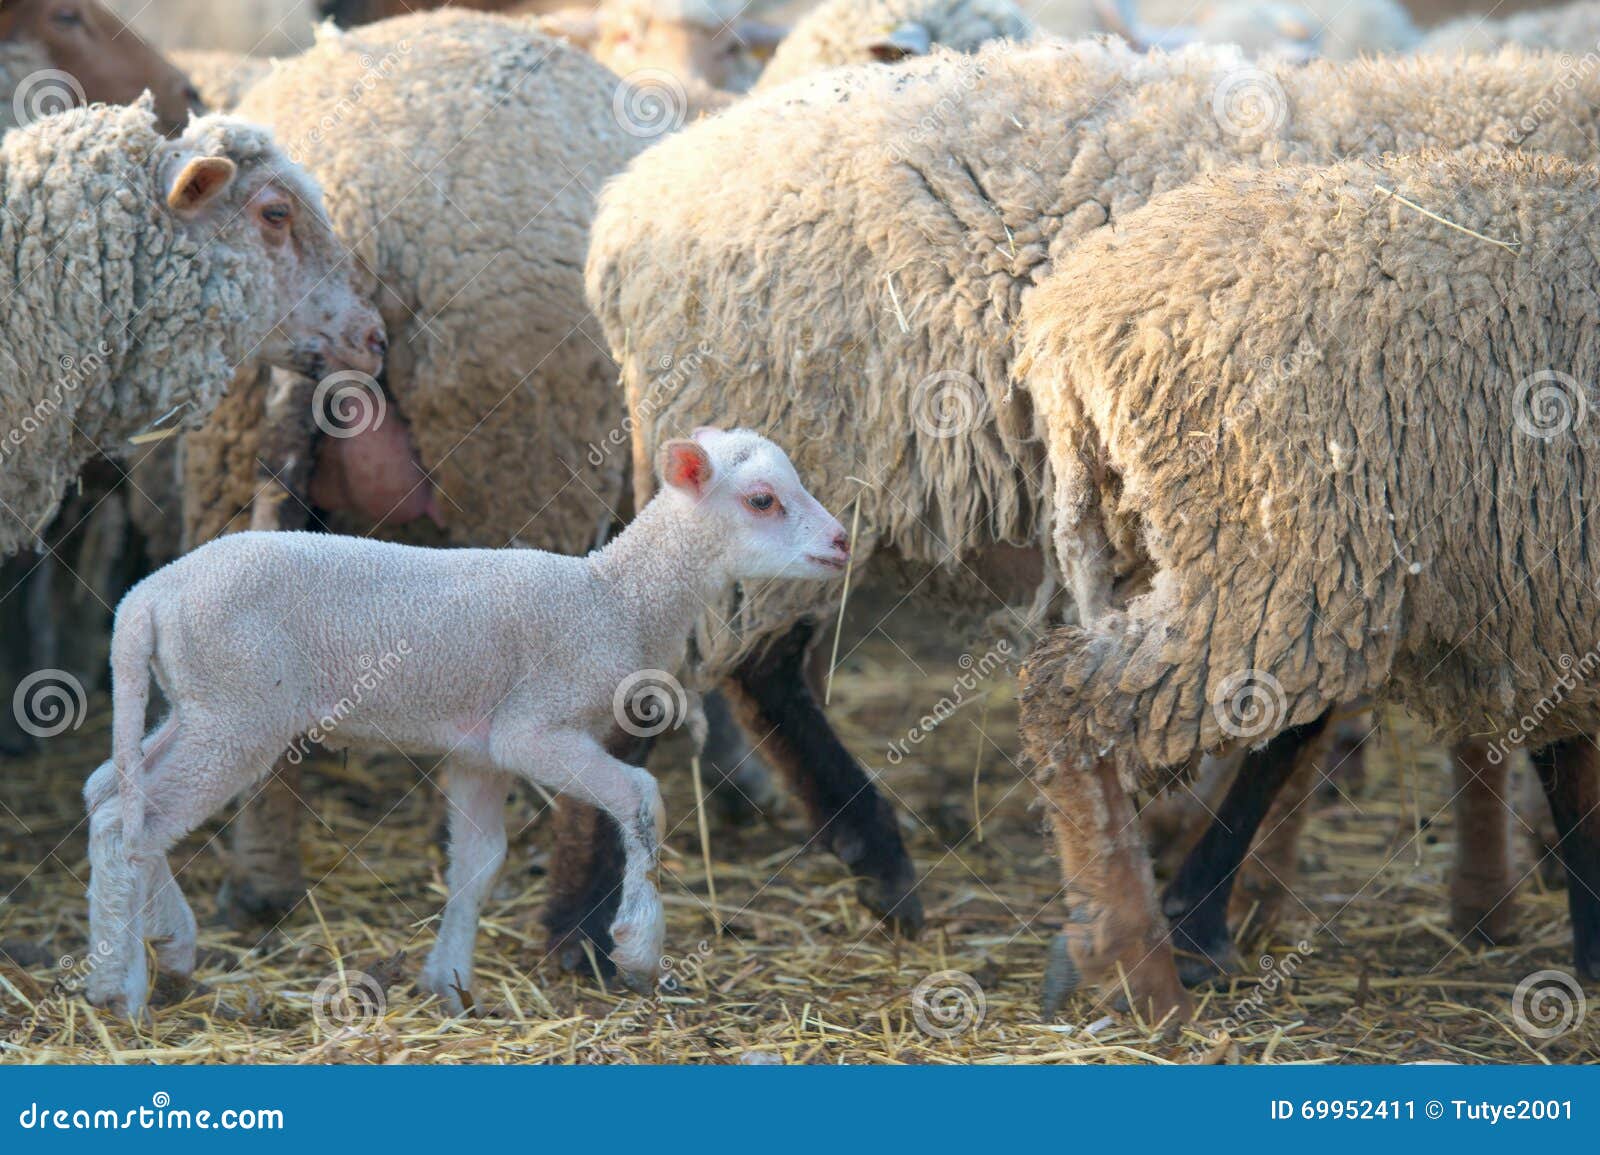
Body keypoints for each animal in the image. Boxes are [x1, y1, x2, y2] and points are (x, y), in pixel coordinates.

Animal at [83, 428, 850, 1021]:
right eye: (762, 500)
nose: (842, 540)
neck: (615, 597)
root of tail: (146, 596)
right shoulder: (533, 728)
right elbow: (641, 797)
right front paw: (638, 946)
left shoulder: (480, 751)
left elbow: (479, 863)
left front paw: (447, 983)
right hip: (239, 711)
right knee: (134, 822)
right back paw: (124, 988)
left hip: (199, 704)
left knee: (108, 796)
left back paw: (157, 944)